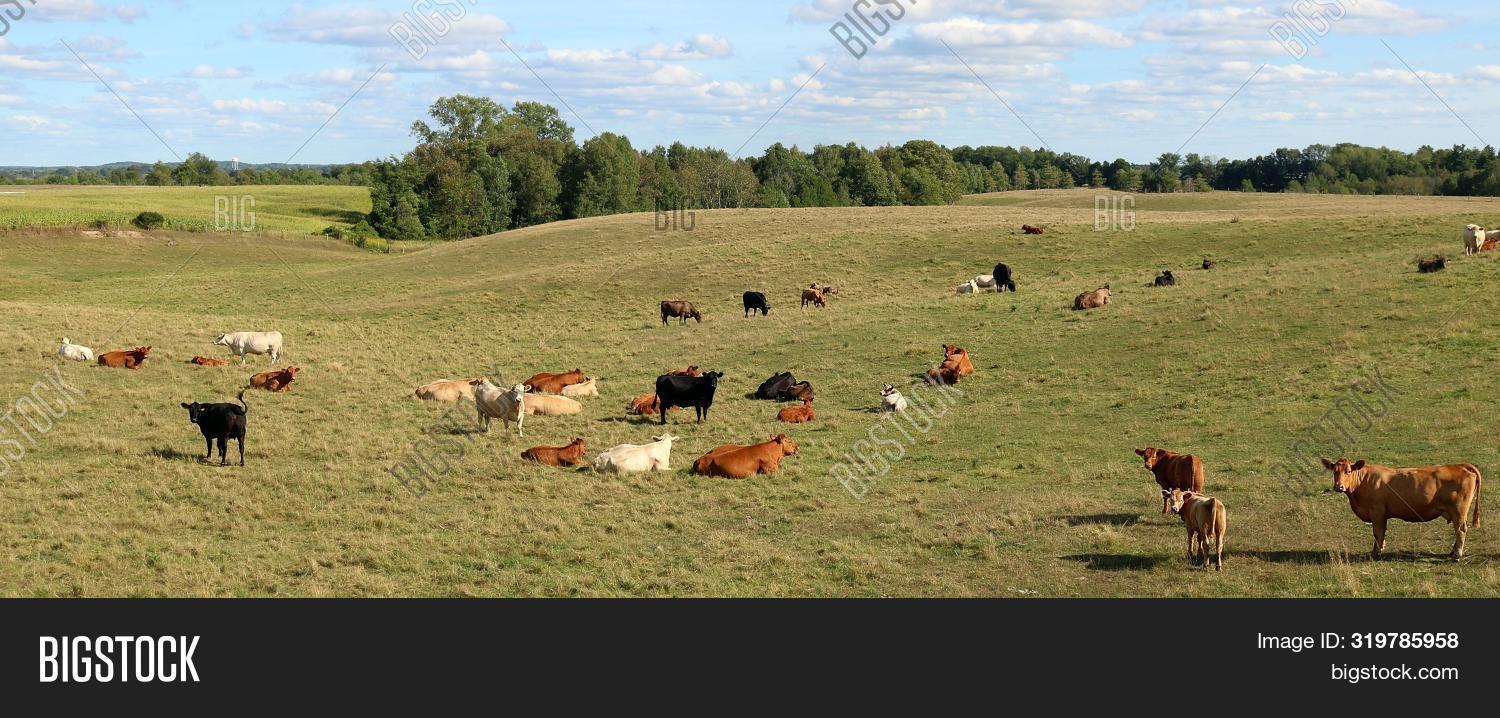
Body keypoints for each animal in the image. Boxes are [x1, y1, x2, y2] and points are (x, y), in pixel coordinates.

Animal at [1321, 457, 1482, 560]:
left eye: (1348, 471)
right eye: (1334, 471)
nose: (1339, 486)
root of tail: (1460, 465)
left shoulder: (1377, 512)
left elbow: (1377, 532)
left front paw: (1376, 553)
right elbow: (1381, 532)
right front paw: (1379, 549)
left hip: (1459, 510)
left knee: (1461, 530)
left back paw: (1457, 555)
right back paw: (1452, 552)